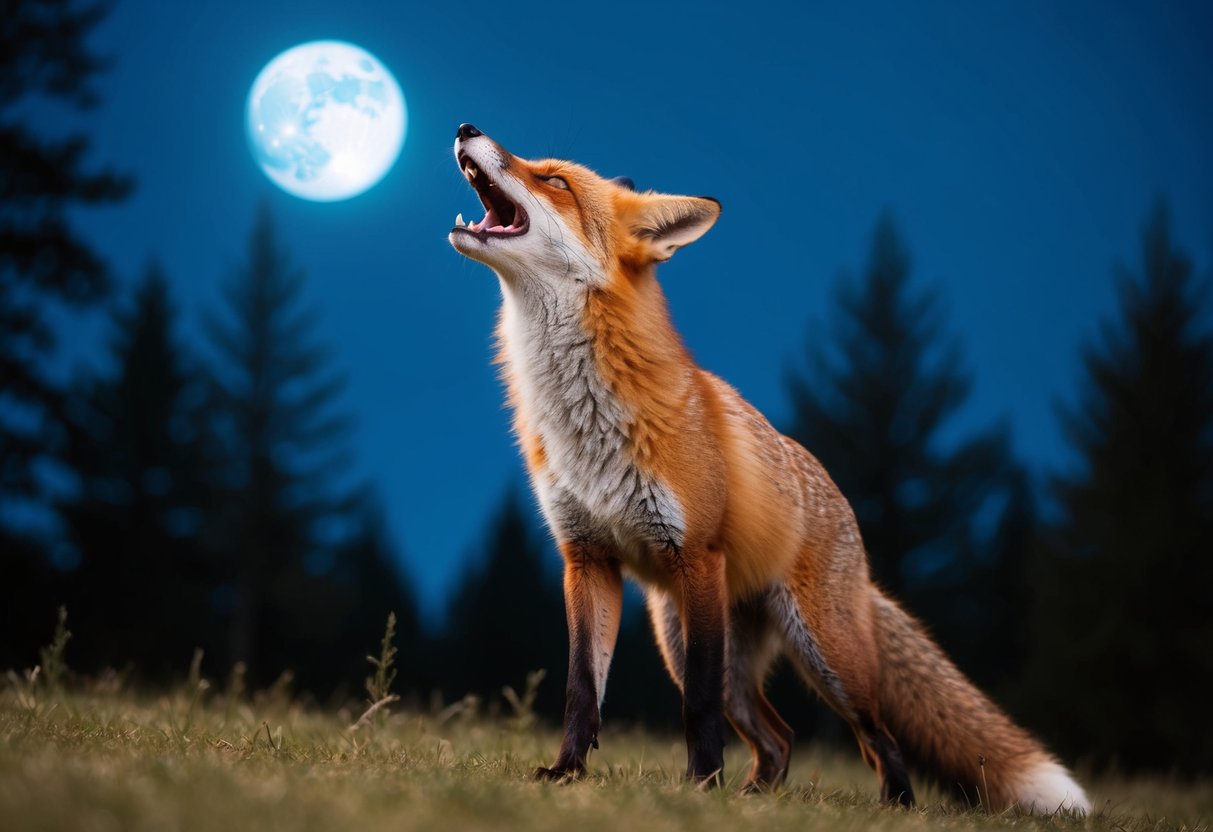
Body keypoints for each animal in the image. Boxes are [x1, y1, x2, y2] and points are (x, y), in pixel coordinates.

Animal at [446, 122, 1090, 813]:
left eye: (555, 180)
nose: (466, 128)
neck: (584, 422)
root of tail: (844, 516)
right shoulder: (586, 558)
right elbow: (580, 694)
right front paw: (567, 775)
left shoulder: (695, 555)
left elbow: (697, 707)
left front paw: (700, 787)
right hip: (687, 639)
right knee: (779, 738)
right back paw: (754, 796)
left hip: (822, 656)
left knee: (877, 737)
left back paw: (894, 806)